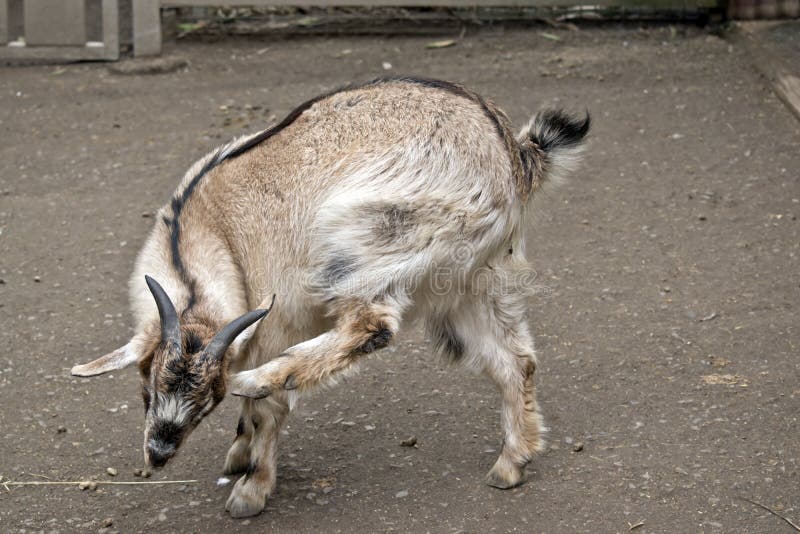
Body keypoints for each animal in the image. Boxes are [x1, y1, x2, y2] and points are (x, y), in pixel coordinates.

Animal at [71, 76, 589, 518]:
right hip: (472, 281)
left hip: (368, 236)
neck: (212, 230)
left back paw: (259, 380)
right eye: (148, 386)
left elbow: (269, 411)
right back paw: (511, 462)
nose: (159, 454)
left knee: (373, 327)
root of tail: (514, 154)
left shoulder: (274, 317)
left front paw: (251, 488)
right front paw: (239, 452)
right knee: (515, 360)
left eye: (206, 402)